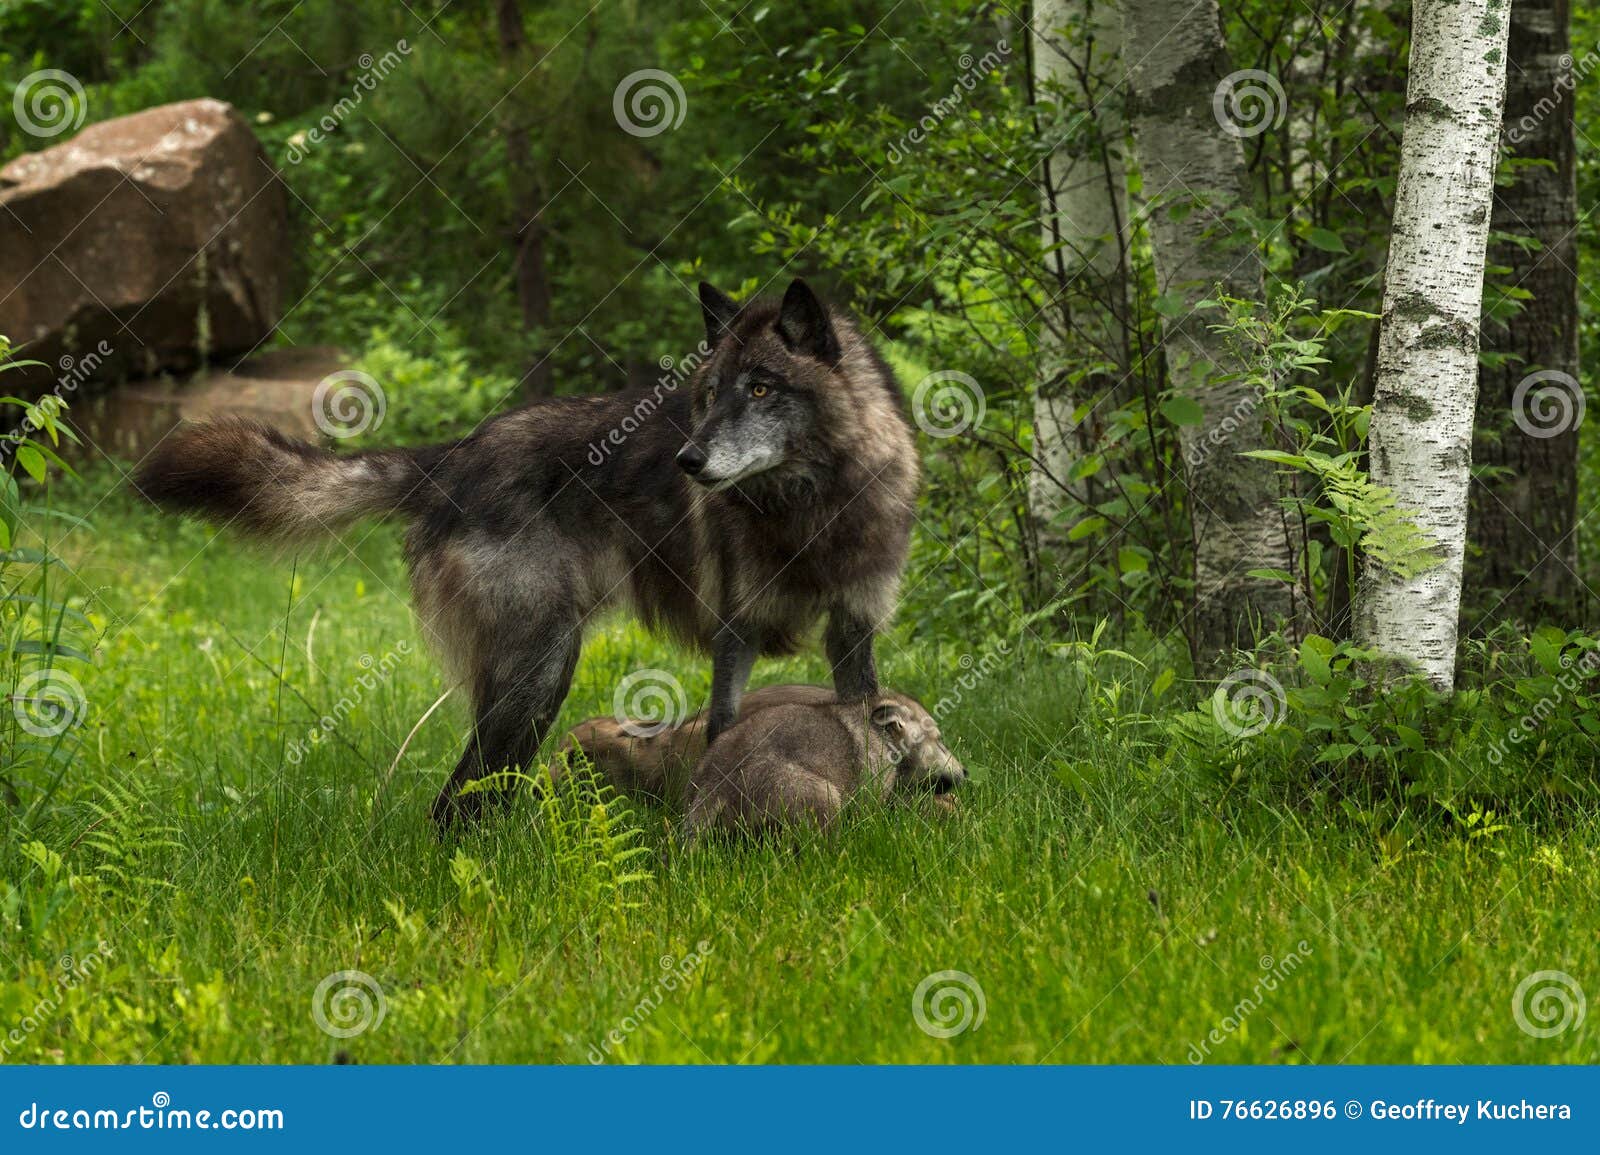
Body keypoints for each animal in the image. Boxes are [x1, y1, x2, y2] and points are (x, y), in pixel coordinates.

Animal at [134, 279, 920, 827]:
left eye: (760, 388)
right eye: (708, 393)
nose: (689, 460)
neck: (813, 508)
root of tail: (452, 455)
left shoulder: (853, 631)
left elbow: (865, 725)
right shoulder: (736, 636)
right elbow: (728, 735)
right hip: (538, 673)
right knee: (457, 799)